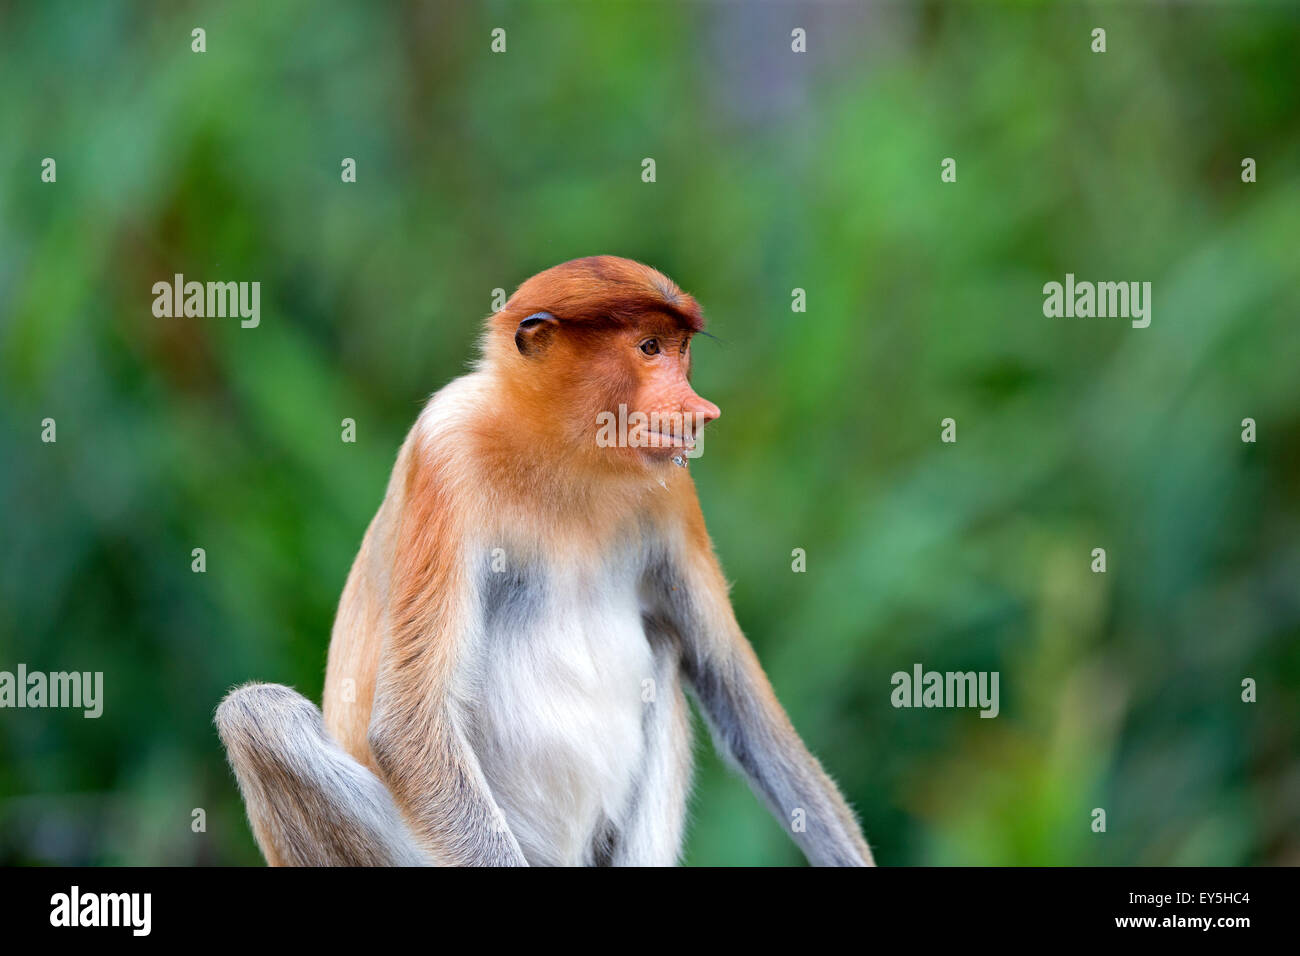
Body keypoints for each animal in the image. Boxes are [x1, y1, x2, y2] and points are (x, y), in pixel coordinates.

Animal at [216, 256, 874, 867]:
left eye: (680, 350)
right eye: (650, 347)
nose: (699, 410)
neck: (565, 451)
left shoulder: (672, 489)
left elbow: (733, 690)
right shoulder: (446, 451)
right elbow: (408, 729)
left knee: (666, 646)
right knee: (257, 714)